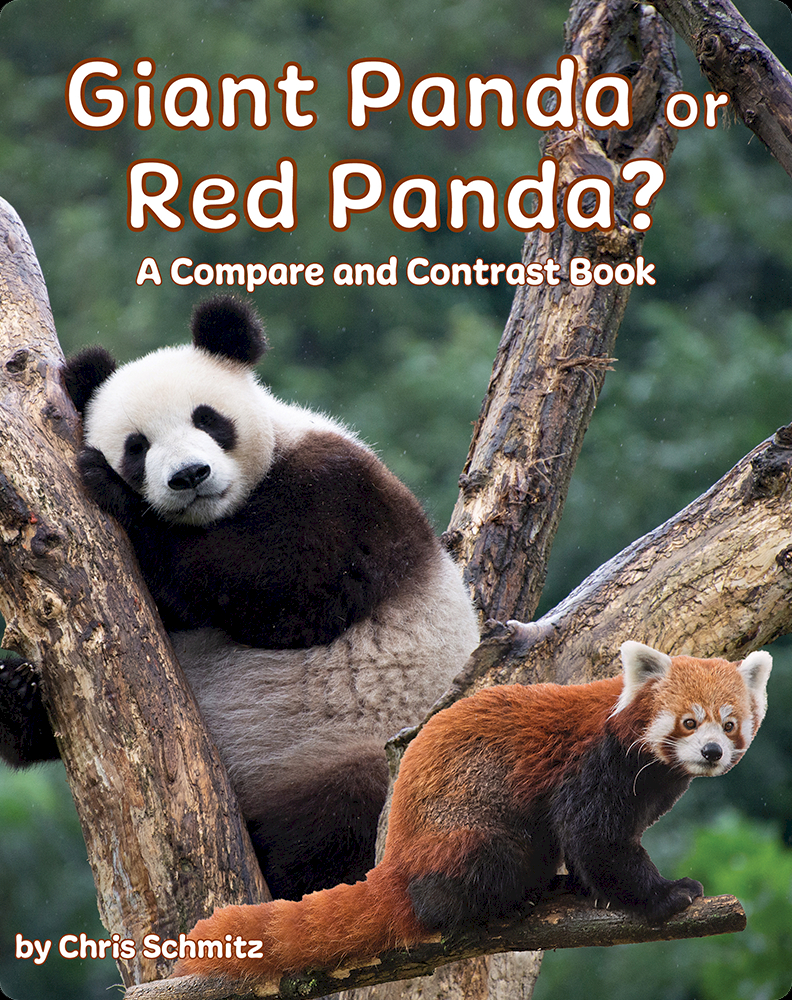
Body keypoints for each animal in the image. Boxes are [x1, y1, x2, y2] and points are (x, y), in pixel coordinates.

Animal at [0, 296, 480, 900]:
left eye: (208, 418)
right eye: (137, 446)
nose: (189, 475)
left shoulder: (346, 492)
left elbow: (293, 586)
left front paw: (117, 497)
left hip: (357, 748)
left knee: (341, 827)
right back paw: (15, 695)